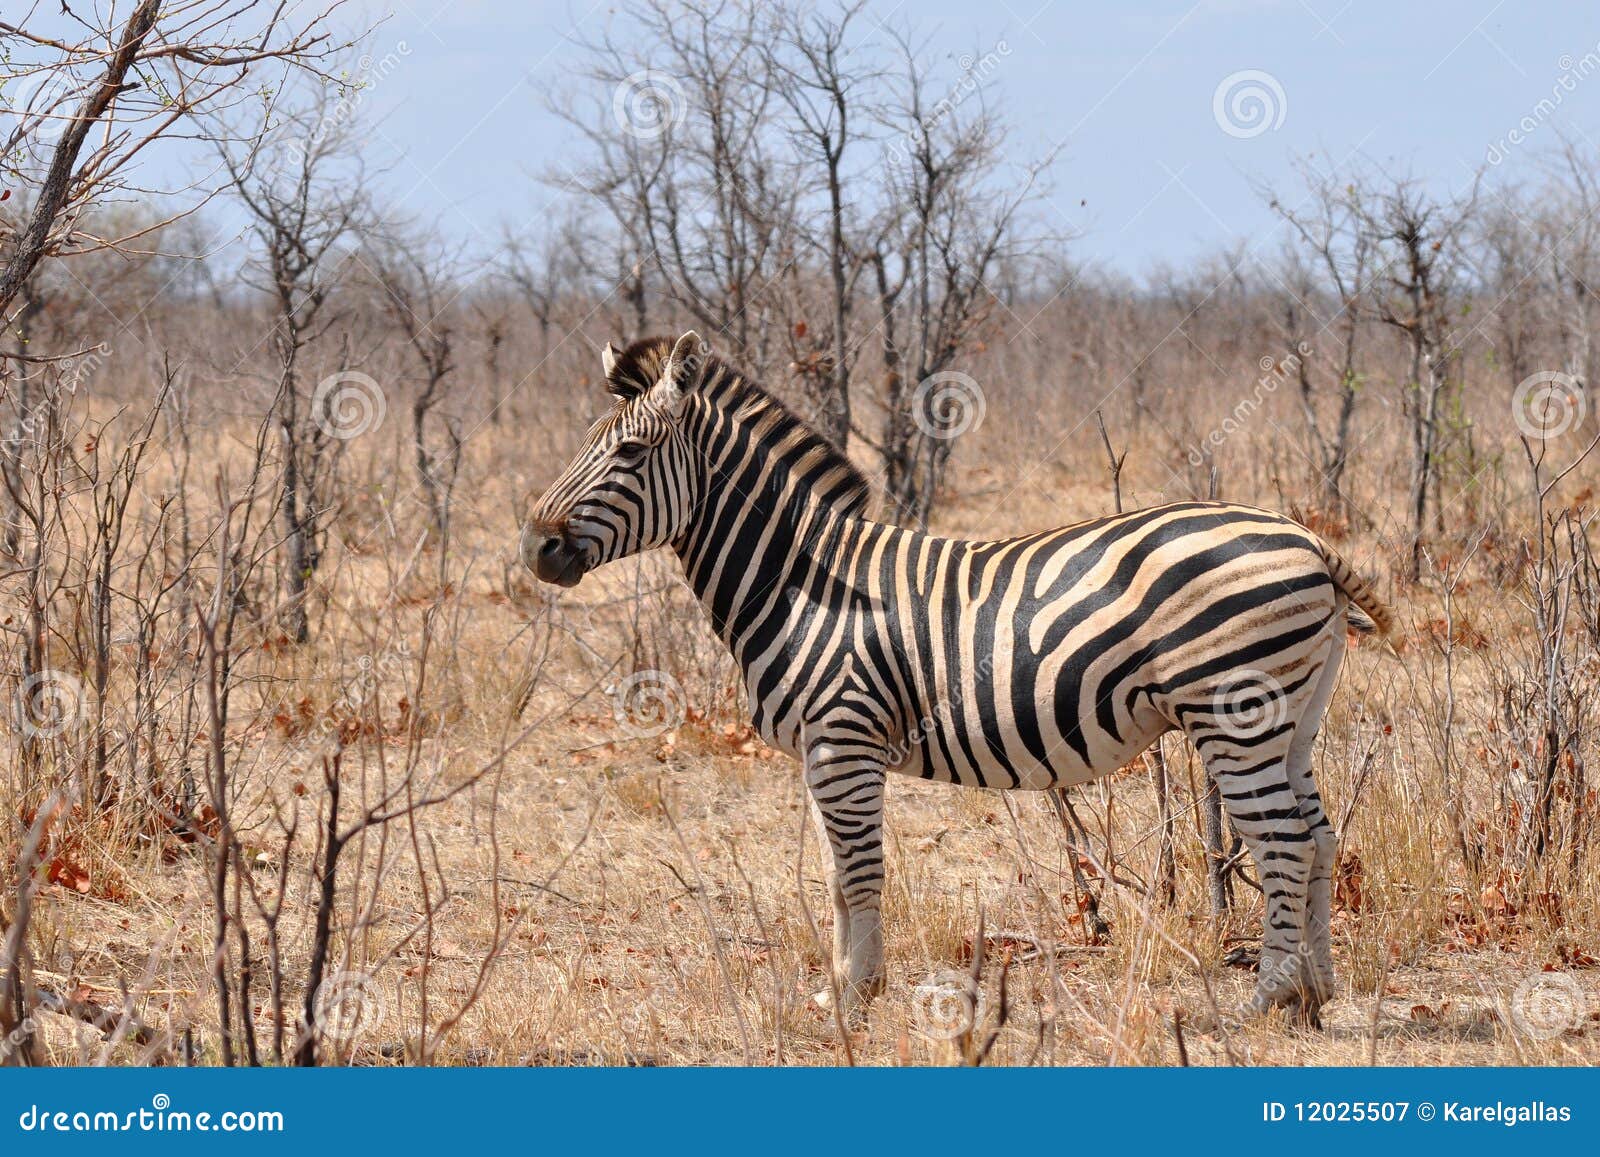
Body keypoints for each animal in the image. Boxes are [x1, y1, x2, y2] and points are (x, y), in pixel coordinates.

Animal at [520, 331, 1392, 1028]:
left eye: (630, 454)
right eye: (588, 443)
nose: (536, 547)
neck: (800, 581)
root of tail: (1309, 539)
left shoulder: (844, 737)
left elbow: (858, 872)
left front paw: (856, 998)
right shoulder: (819, 751)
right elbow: (836, 875)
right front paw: (841, 989)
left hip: (1235, 713)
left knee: (1282, 842)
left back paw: (1266, 1000)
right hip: (1293, 717)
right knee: (1318, 837)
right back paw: (1315, 994)